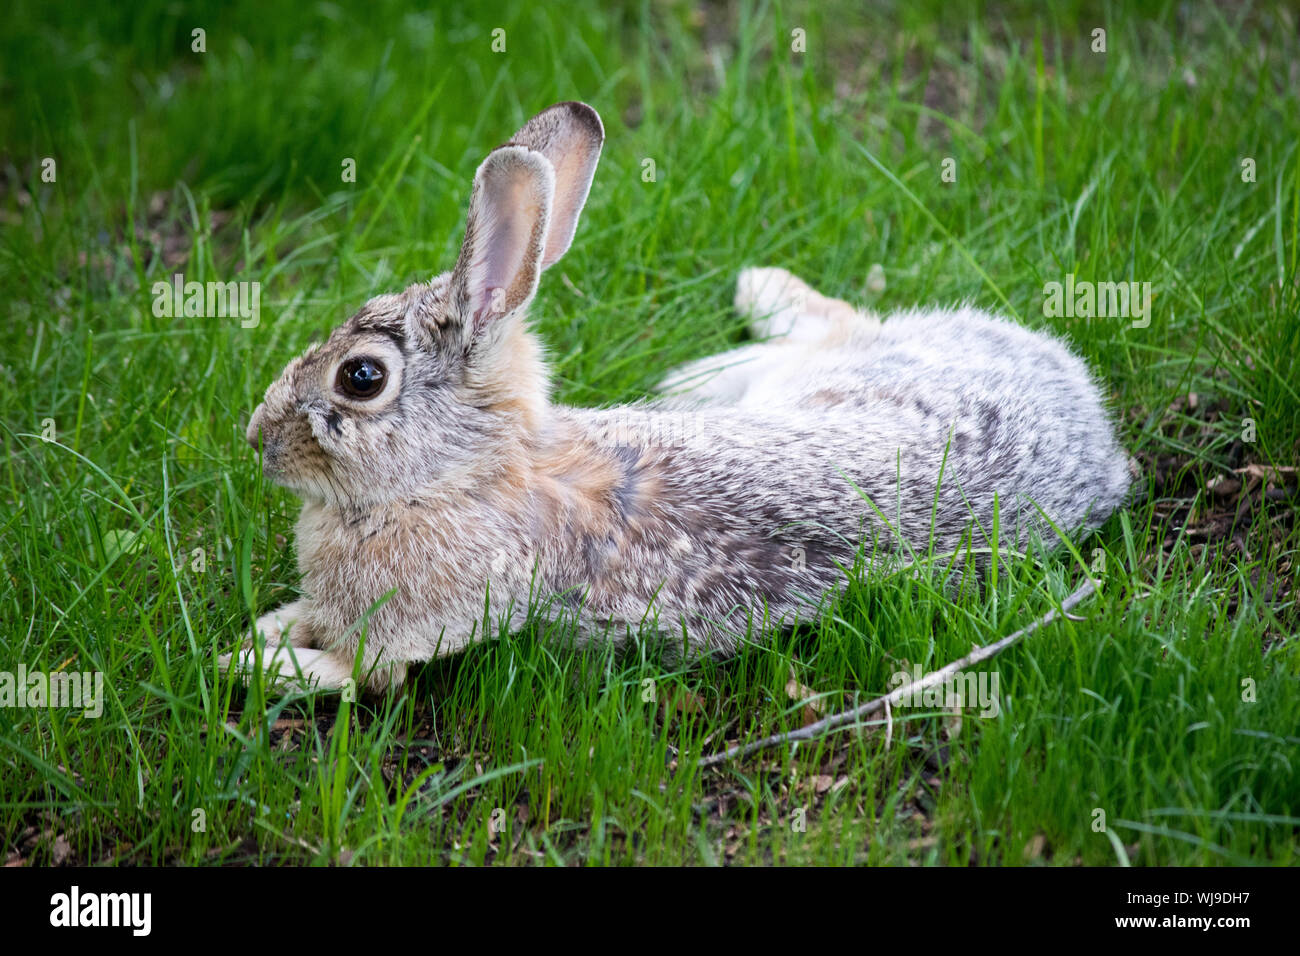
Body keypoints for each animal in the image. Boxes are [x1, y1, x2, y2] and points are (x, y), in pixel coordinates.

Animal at [220, 101, 1133, 694]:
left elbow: (353, 676)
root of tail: (1097, 429)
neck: (458, 478)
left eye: (360, 378)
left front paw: (254, 660)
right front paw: (273, 624)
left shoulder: (407, 638)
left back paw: (742, 306)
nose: (256, 435)